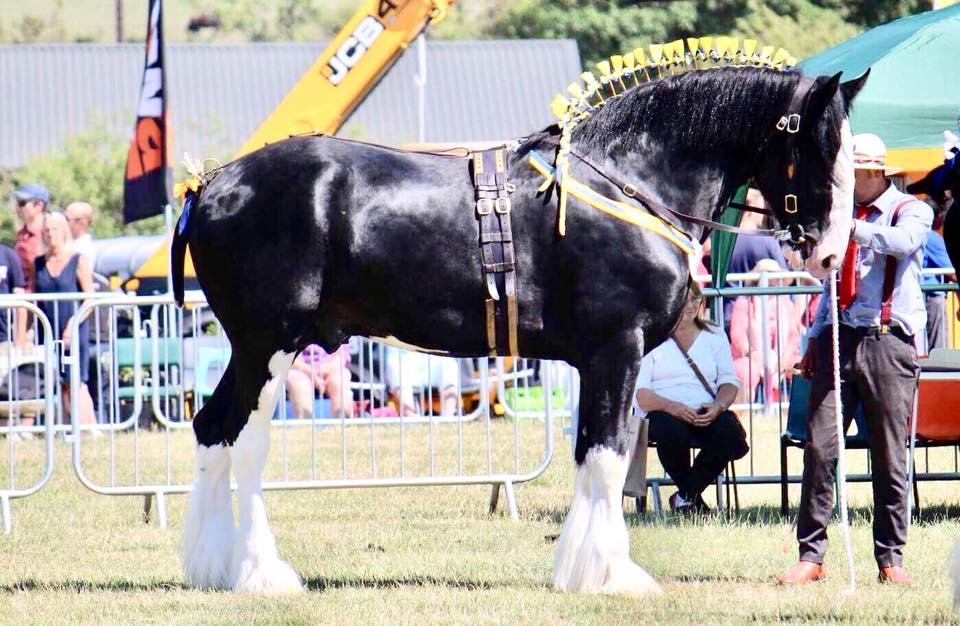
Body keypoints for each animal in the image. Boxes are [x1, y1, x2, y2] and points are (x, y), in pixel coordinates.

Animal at [172, 59, 867, 594]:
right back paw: (262, 574)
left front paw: (580, 569)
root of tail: (211, 184)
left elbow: (591, 453)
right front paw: (609, 575)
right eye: (820, 146)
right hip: (270, 347)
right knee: (246, 444)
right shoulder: (617, 350)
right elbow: (608, 457)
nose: (833, 254)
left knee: (211, 430)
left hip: (250, 349)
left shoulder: (598, 361)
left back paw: (211, 567)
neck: (629, 185)